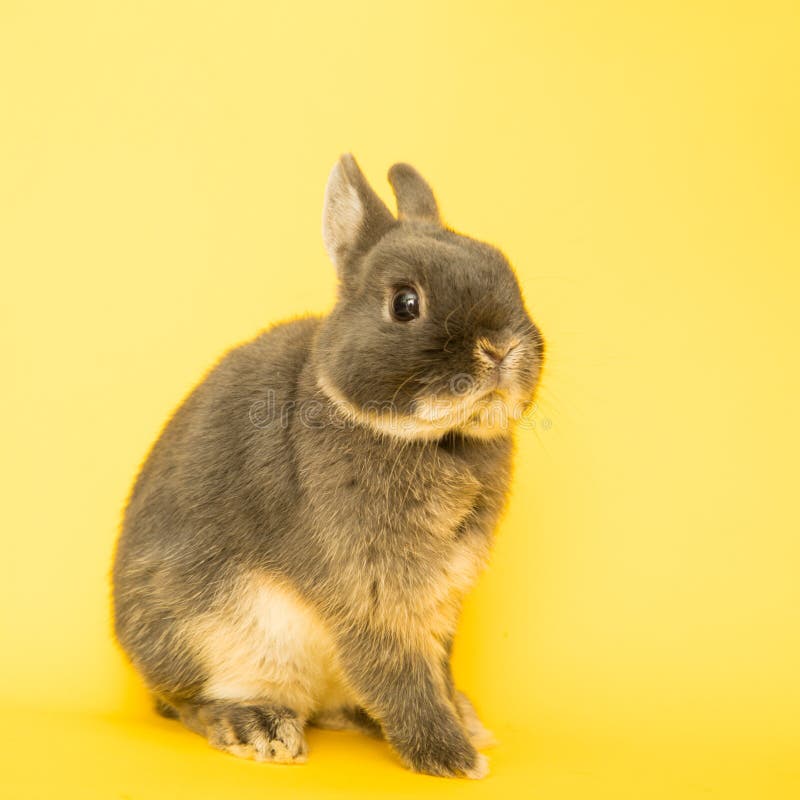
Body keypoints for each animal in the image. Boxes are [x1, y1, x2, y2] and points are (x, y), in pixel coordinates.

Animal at [112, 154, 544, 779]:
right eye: (406, 303)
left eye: (507, 273)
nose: (502, 347)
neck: (439, 439)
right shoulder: (372, 588)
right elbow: (397, 670)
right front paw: (452, 757)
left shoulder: (439, 598)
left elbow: (433, 667)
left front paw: (463, 727)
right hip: (203, 635)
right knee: (187, 704)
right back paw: (258, 727)